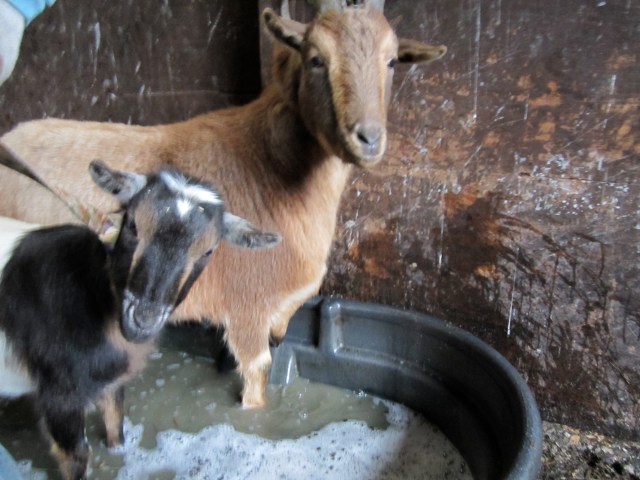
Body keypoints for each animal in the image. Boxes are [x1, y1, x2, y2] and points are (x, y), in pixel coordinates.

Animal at [0, 1, 446, 408]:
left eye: (392, 61)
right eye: (316, 59)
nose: (368, 139)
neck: (270, 167)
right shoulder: (248, 308)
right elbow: (257, 378)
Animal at [0, 161, 280, 480]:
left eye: (208, 251)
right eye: (132, 225)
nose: (143, 319)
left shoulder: (111, 382)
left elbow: (115, 424)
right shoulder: (60, 397)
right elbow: (77, 456)